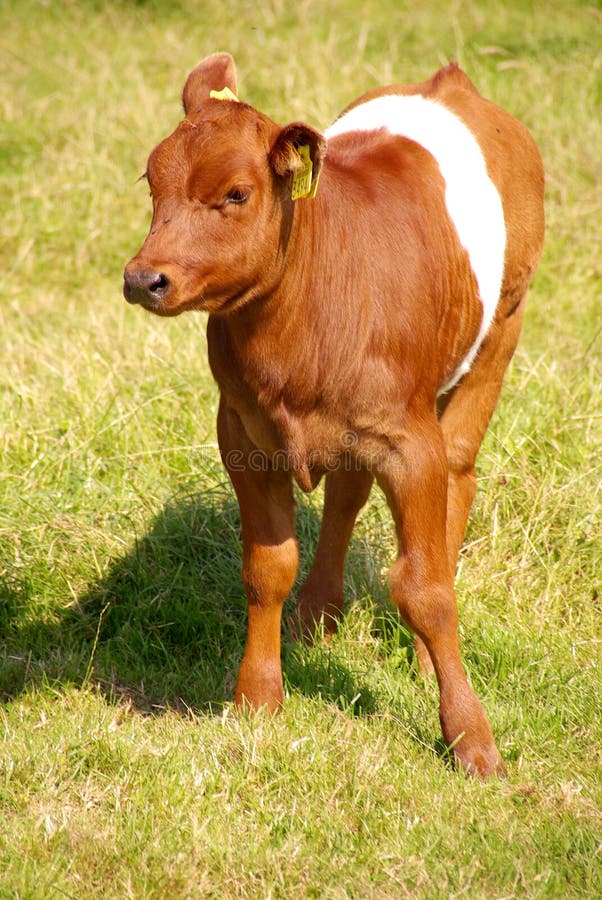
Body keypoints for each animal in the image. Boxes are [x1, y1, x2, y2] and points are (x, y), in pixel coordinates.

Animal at [123, 52, 545, 777]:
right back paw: (317, 616)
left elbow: (426, 589)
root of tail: (451, 82)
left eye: (237, 194)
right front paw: (258, 696)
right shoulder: (242, 433)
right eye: (153, 182)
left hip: (498, 338)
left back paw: (418, 654)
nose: (143, 278)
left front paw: (471, 738)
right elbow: (266, 569)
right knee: (349, 489)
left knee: (459, 478)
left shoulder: (410, 441)